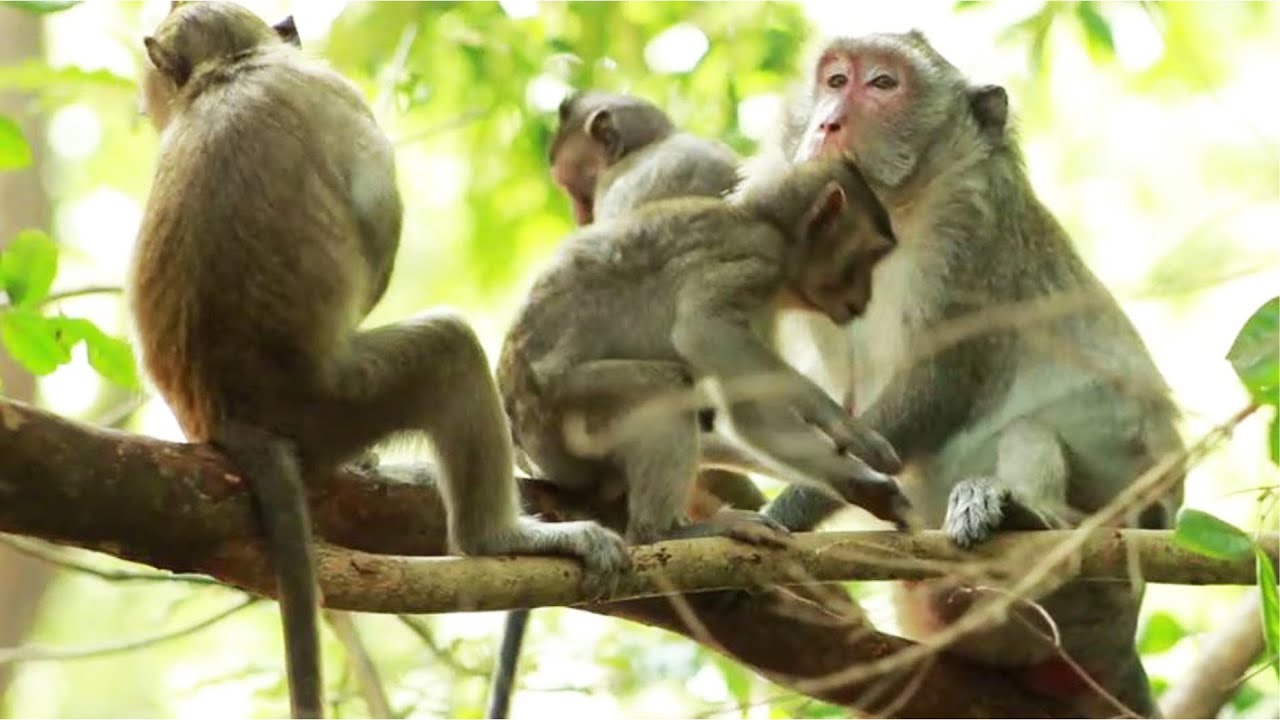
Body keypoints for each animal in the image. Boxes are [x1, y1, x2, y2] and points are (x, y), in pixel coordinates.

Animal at [130, 4, 628, 718]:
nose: (146, 111)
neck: (230, 70)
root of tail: (230, 416)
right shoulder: (334, 92)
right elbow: (376, 220)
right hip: (335, 401)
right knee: (449, 348)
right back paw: (496, 537)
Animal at [761, 30, 1185, 717]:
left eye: (883, 84)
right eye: (834, 80)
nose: (828, 122)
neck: (897, 210)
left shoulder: (970, 234)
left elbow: (938, 387)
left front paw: (784, 513)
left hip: (1106, 582)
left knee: (1030, 432)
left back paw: (1024, 518)